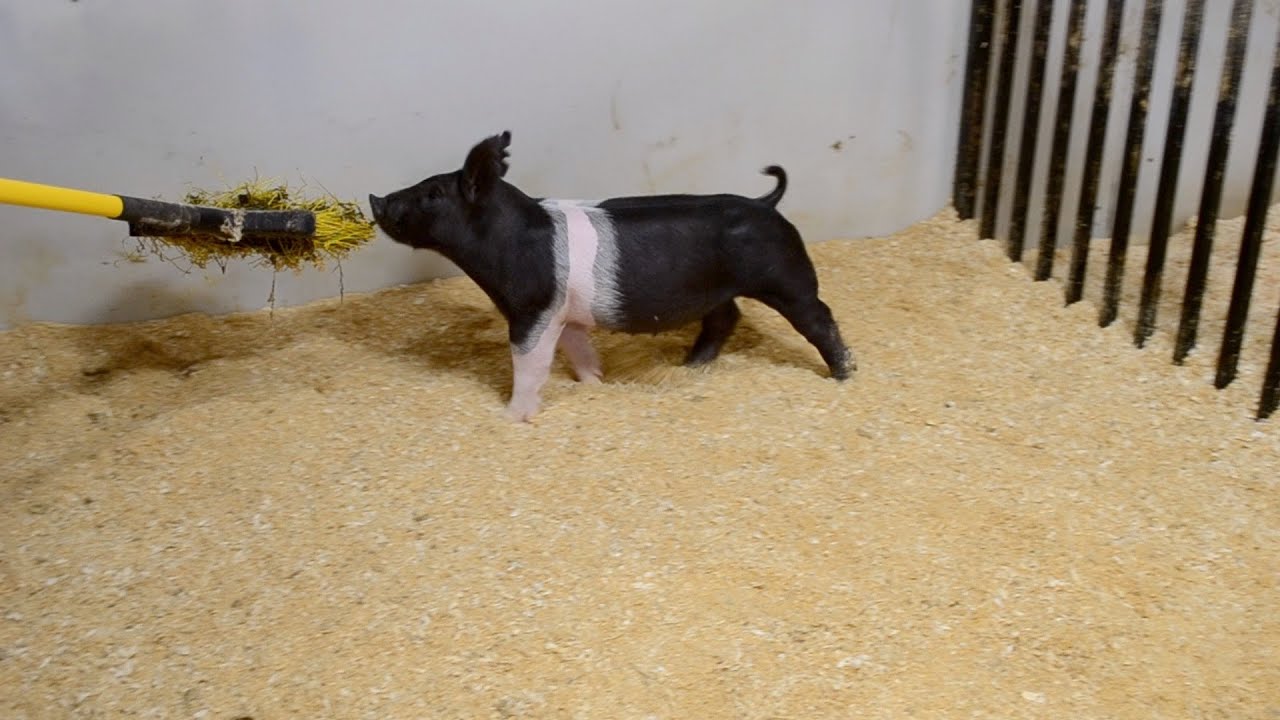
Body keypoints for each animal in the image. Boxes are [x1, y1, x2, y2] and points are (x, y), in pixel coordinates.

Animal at [368, 131, 855, 422]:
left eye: (433, 194)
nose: (375, 199)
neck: (503, 243)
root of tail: (765, 203)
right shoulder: (561, 311)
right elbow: (577, 346)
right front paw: (594, 382)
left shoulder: (532, 309)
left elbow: (528, 363)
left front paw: (512, 417)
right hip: (718, 291)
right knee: (725, 319)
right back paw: (690, 367)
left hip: (786, 277)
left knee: (820, 317)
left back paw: (844, 375)